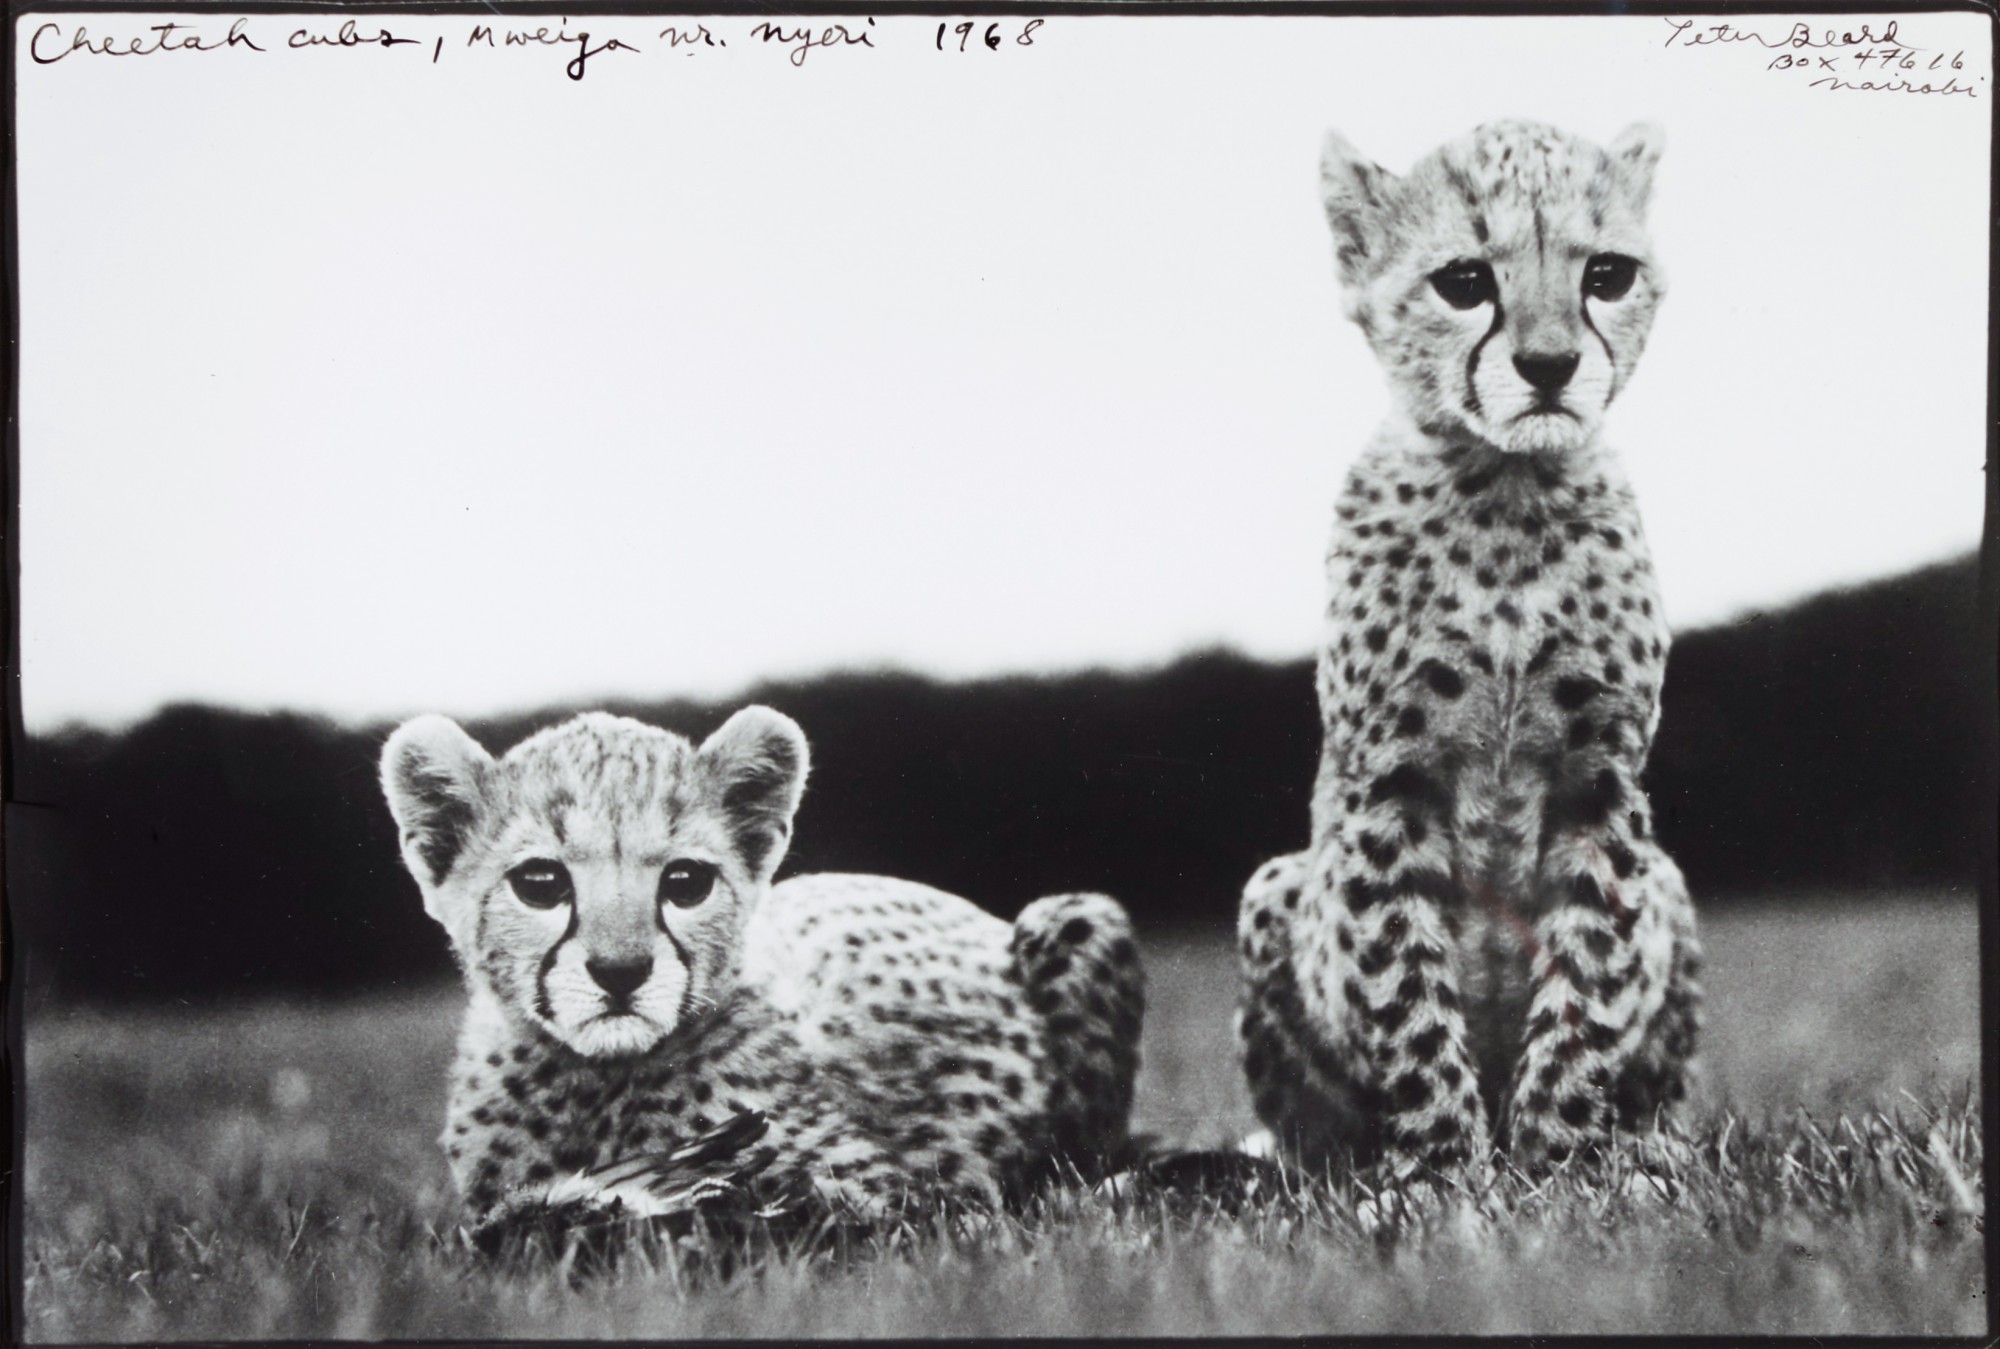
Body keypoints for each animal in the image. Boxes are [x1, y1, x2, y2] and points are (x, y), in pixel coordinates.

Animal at [380, 704, 1145, 1241]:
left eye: (686, 882)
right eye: (540, 883)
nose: (621, 971)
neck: (599, 1080)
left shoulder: (901, 1196)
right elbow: (506, 1223)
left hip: (1080, 915)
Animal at [1236, 120, 1702, 1193]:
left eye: (1606, 274)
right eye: (1464, 282)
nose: (1549, 364)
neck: (1506, 487)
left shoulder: (1604, 781)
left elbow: (1586, 980)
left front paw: (1562, 1166)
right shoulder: (1388, 786)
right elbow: (1406, 990)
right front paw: (1442, 1177)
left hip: (1670, 883)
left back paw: (1649, 1146)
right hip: (1275, 887)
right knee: (1305, 1128)